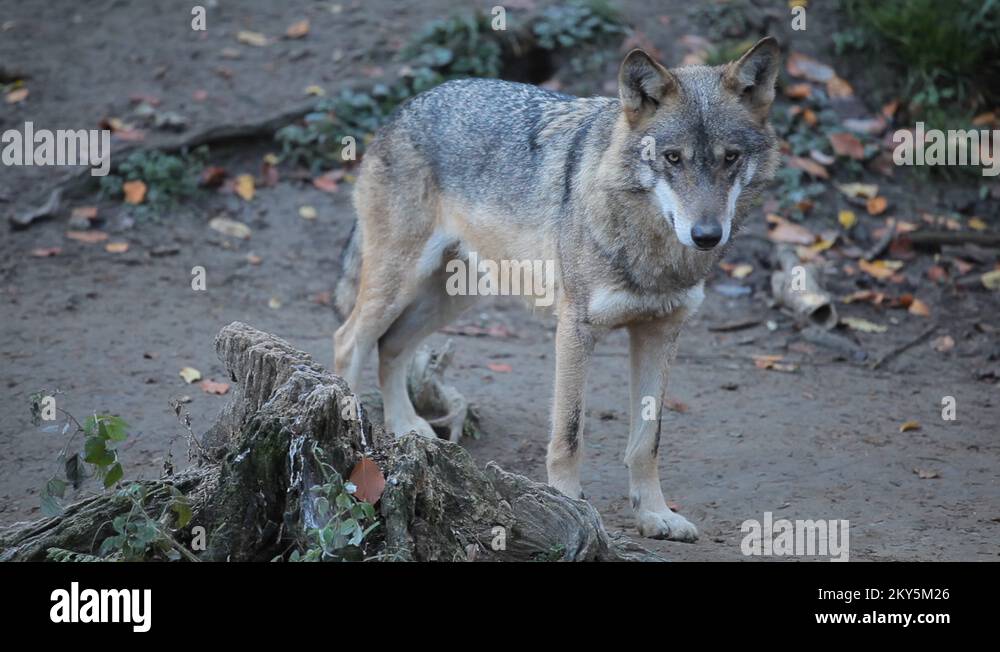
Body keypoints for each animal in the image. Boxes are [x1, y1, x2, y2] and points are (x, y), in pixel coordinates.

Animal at [333, 38, 780, 540]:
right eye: (672, 158)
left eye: (730, 158)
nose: (707, 235)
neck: (653, 252)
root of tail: (408, 105)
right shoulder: (575, 330)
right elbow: (568, 434)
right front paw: (570, 505)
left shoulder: (661, 332)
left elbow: (647, 440)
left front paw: (654, 515)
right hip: (396, 284)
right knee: (348, 341)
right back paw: (355, 441)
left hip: (454, 296)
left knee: (390, 346)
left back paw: (405, 427)